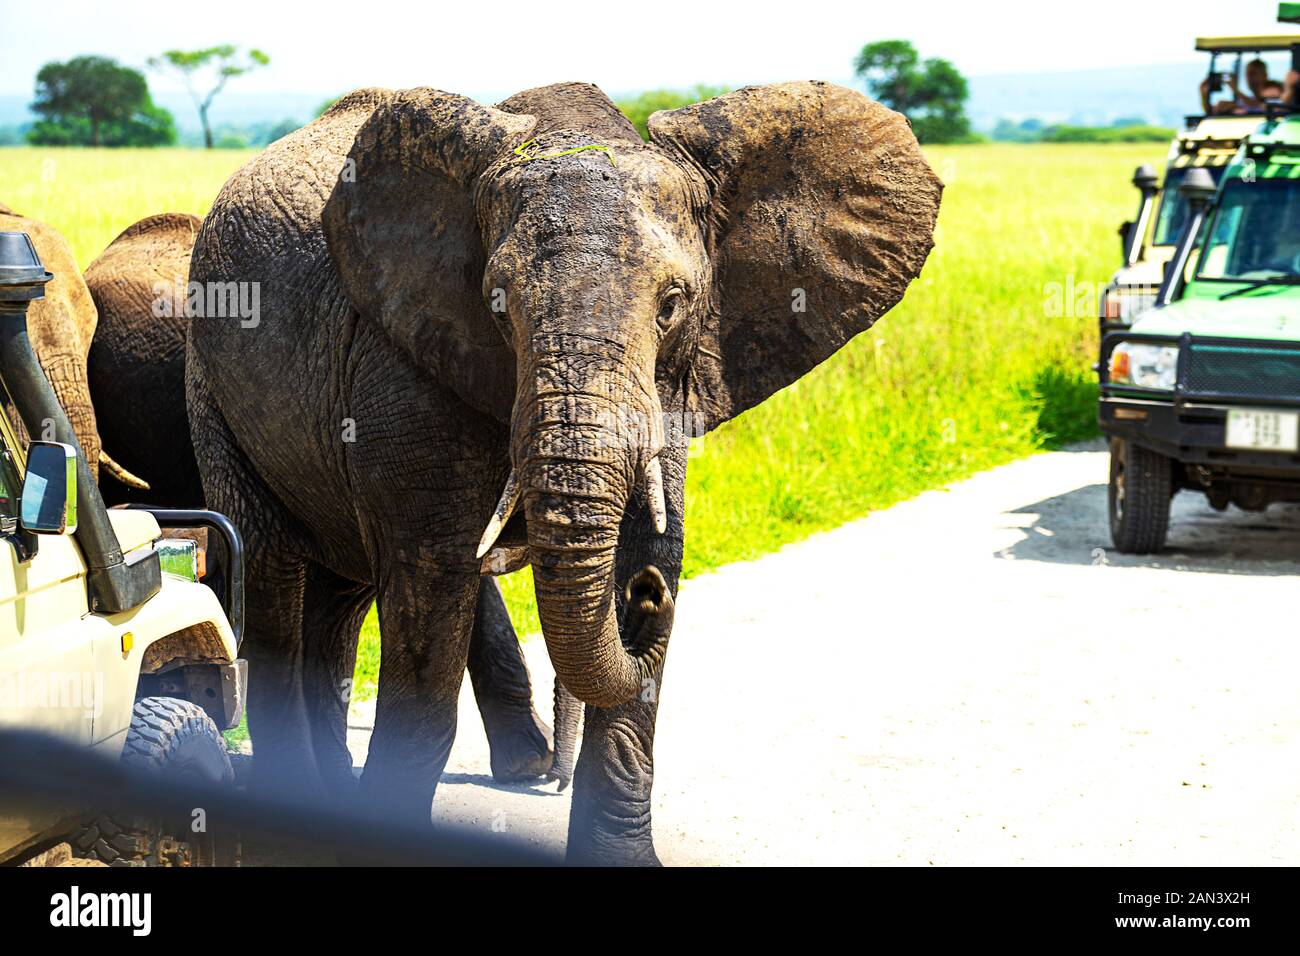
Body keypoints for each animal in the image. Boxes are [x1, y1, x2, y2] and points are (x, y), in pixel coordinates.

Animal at [185, 80, 940, 863]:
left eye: (673, 306)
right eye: (497, 305)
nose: (643, 600)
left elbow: (654, 537)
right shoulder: (399, 369)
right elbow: (433, 577)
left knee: (340, 599)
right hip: (211, 384)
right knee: (273, 578)